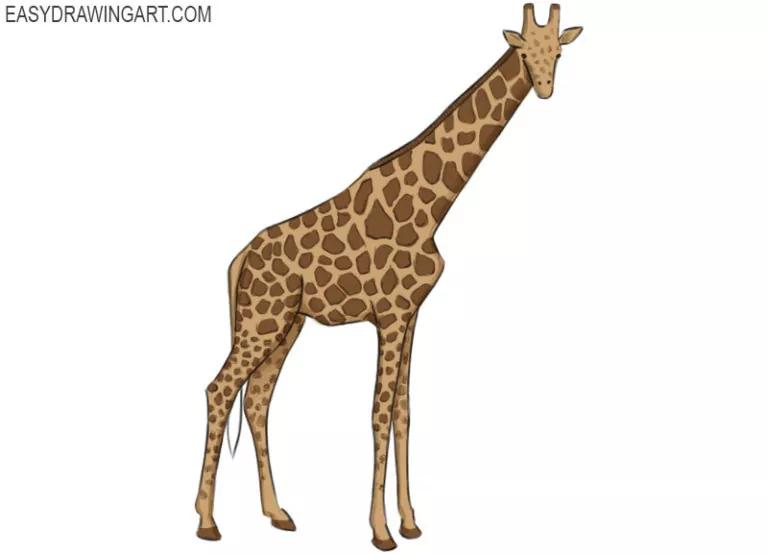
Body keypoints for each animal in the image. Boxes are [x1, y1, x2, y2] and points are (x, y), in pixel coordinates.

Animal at [195, 3, 582, 550]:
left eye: (559, 53)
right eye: (525, 52)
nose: (546, 88)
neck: (431, 209)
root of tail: (242, 256)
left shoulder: (413, 314)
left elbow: (404, 411)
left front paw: (411, 521)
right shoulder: (391, 314)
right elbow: (378, 413)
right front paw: (380, 531)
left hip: (286, 324)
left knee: (258, 400)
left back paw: (277, 513)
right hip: (261, 320)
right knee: (220, 390)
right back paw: (207, 522)